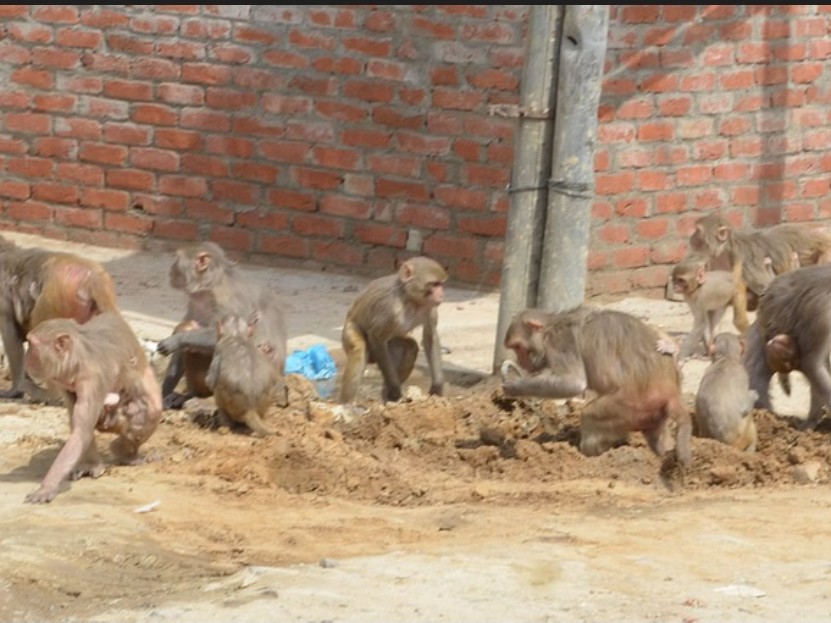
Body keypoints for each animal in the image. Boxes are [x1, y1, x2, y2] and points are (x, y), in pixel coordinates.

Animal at [22, 311, 162, 503]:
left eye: (31, 345)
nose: (26, 358)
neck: (78, 362)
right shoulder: (63, 382)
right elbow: (80, 428)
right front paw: (91, 464)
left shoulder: (92, 381)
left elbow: (80, 432)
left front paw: (46, 487)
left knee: (152, 409)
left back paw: (126, 454)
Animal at [156, 242, 287, 410]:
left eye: (177, 259)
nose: (171, 269)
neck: (209, 287)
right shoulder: (194, 304)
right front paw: (165, 392)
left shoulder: (228, 302)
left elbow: (232, 336)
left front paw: (177, 339)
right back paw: (188, 396)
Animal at [338, 256, 447, 404]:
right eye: (434, 284)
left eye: (440, 284)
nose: (441, 294)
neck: (410, 299)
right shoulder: (391, 309)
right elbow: (376, 338)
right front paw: (394, 388)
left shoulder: (430, 307)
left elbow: (430, 336)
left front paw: (437, 386)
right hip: (350, 330)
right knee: (359, 350)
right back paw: (347, 404)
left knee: (410, 347)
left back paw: (387, 396)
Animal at [500, 307, 692, 465]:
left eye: (518, 347)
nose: (521, 362)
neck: (550, 328)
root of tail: (671, 391)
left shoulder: (560, 342)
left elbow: (573, 382)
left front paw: (512, 385)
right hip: (653, 413)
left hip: (633, 405)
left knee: (590, 415)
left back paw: (592, 457)